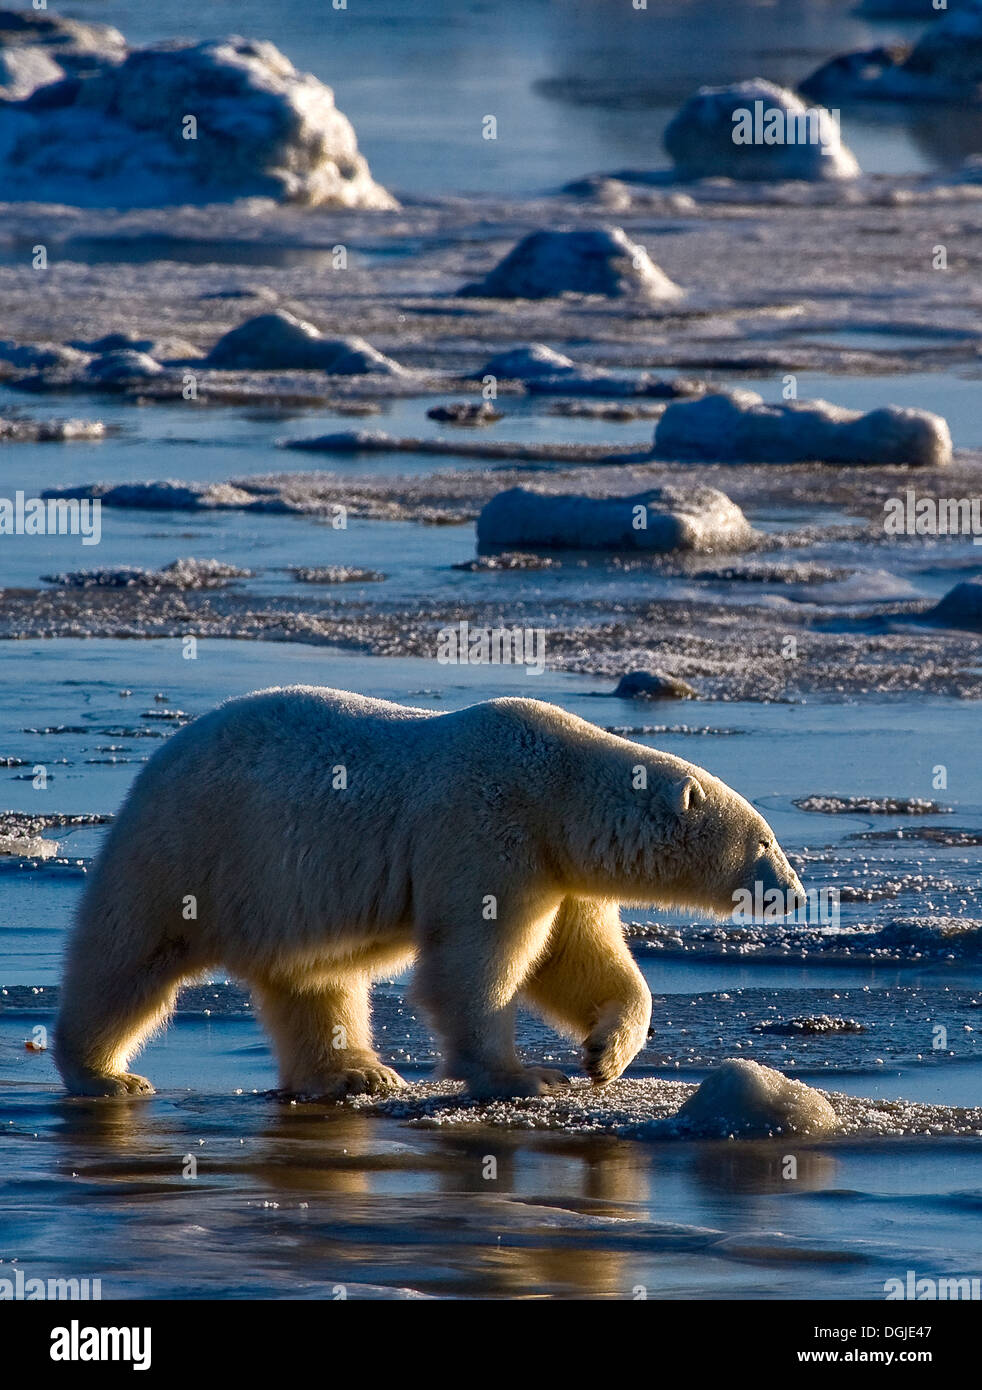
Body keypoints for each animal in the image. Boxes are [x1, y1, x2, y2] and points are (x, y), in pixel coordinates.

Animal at [55, 686, 803, 1100]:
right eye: (766, 844)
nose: (794, 893)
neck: (557, 787)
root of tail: (158, 761)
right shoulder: (487, 827)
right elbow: (476, 961)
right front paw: (524, 1076)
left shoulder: (554, 870)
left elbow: (579, 960)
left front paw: (603, 1053)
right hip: (191, 847)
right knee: (126, 963)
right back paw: (104, 1073)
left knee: (313, 982)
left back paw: (357, 1072)